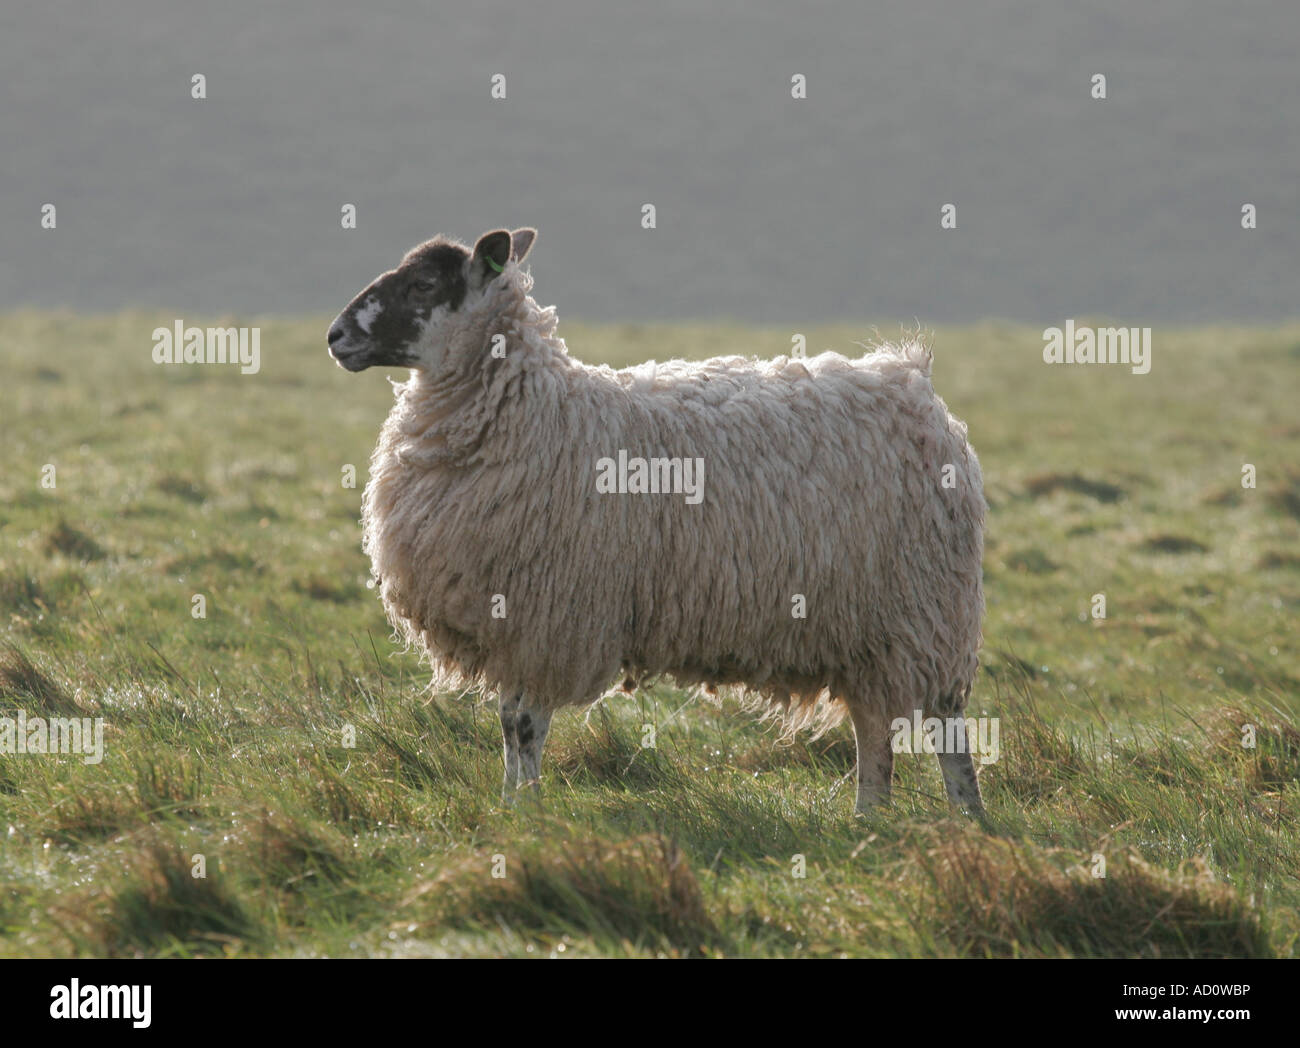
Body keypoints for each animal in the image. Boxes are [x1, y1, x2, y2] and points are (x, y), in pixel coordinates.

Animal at [326, 227, 987, 816]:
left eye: (422, 284)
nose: (334, 336)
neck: (529, 409)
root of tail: (917, 389)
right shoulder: (516, 626)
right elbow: (509, 725)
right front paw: (511, 808)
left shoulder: (550, 617)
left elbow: (524, 726)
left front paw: (527, 816)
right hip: (869, 630)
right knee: (875, 730)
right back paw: (868, 820)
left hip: (922, 609)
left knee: (945, 727)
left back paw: (967, 819)